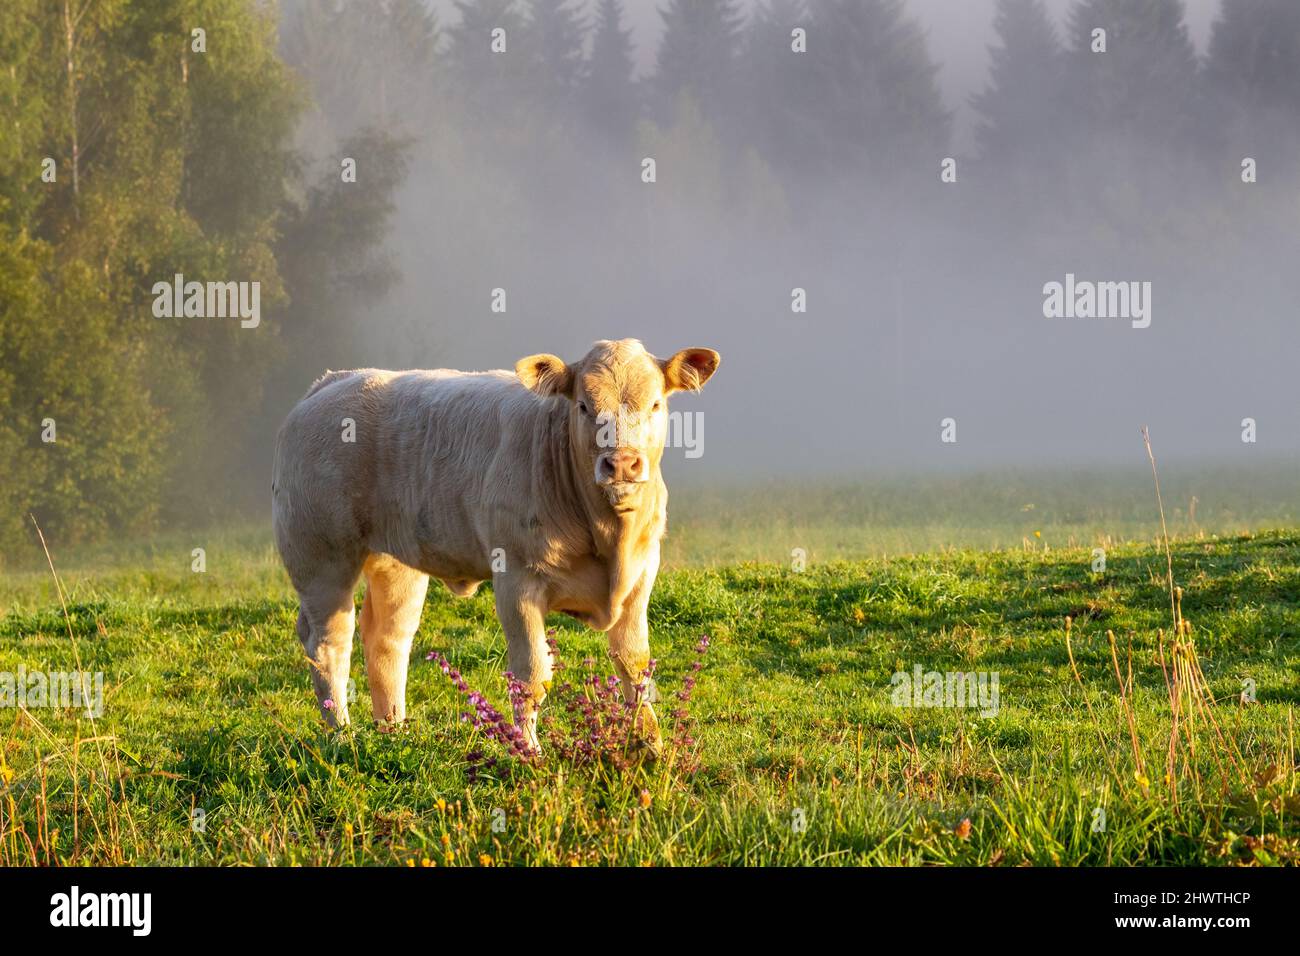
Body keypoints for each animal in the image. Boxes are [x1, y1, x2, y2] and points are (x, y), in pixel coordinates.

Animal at [271, 339, 721, 753]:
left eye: (656, 404)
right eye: (583, 407)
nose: (623, 463)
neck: (610, 537)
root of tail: (333, 381)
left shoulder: (643, 574)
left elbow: (634, 662)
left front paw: (652, 744)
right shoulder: (517, 580)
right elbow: (532, 675)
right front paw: (529, 751)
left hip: (396, 561)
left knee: (387, 637)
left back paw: (393, 730)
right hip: (321, 557)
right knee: (328, 643)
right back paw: (341, 733)